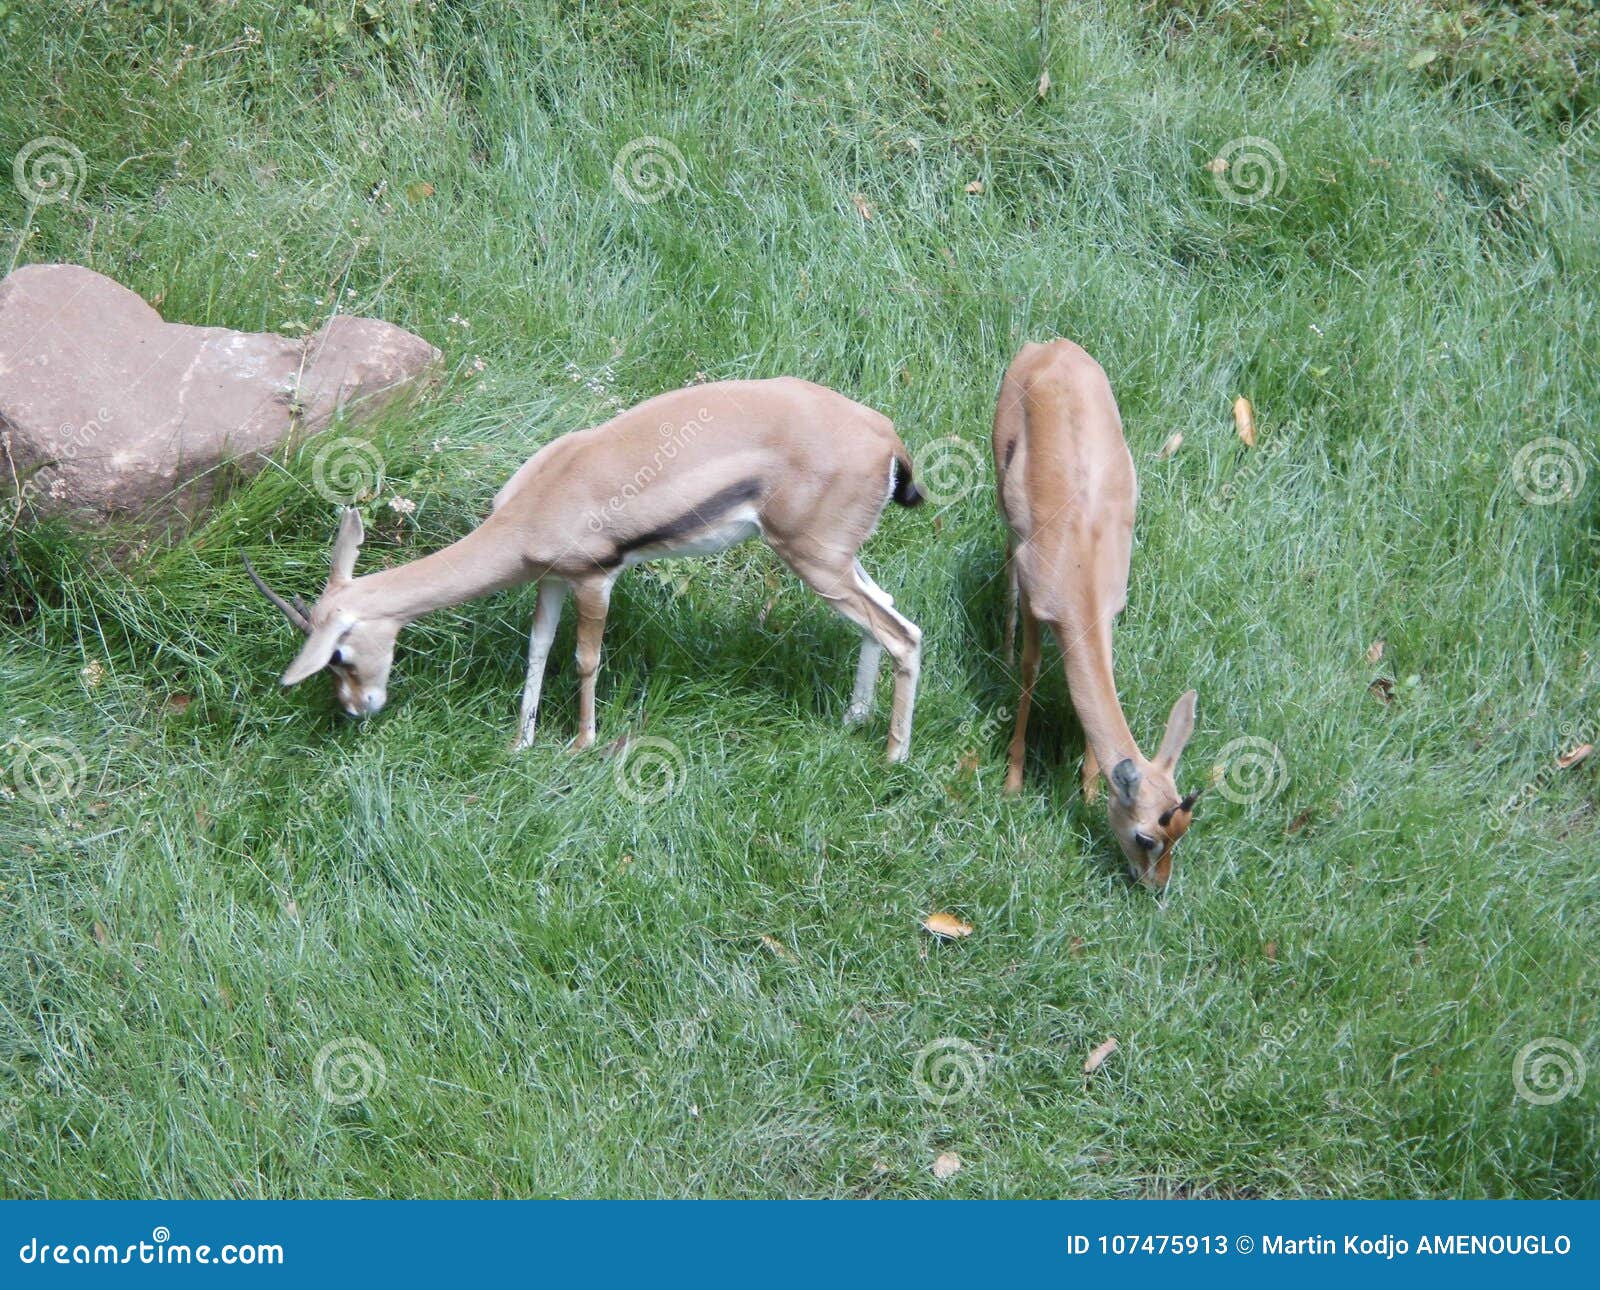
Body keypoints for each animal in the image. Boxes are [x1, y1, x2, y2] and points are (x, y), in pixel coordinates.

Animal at [245, 377, 925, 759]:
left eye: (338, 653)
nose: (355, 709)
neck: (536, 504)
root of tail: (883, 433)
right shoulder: (549, 580)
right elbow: (538, 649)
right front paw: (520, 743)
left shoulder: (597, 578)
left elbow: (584, 658)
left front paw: (581, 743)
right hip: (834, 562)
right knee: (888, 613)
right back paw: (854, 719)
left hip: (814, 561)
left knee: (905, 635)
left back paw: (891, 757)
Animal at [993, 340, 1199, 890]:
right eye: (1146, 837)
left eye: (1181, 832)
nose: (1156, 886)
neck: (1080, 574)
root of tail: (1049, 345)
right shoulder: (1041, 604)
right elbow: (1030, 671)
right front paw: (1013, 781)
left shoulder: (1108, 614)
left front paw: (1086, 786)